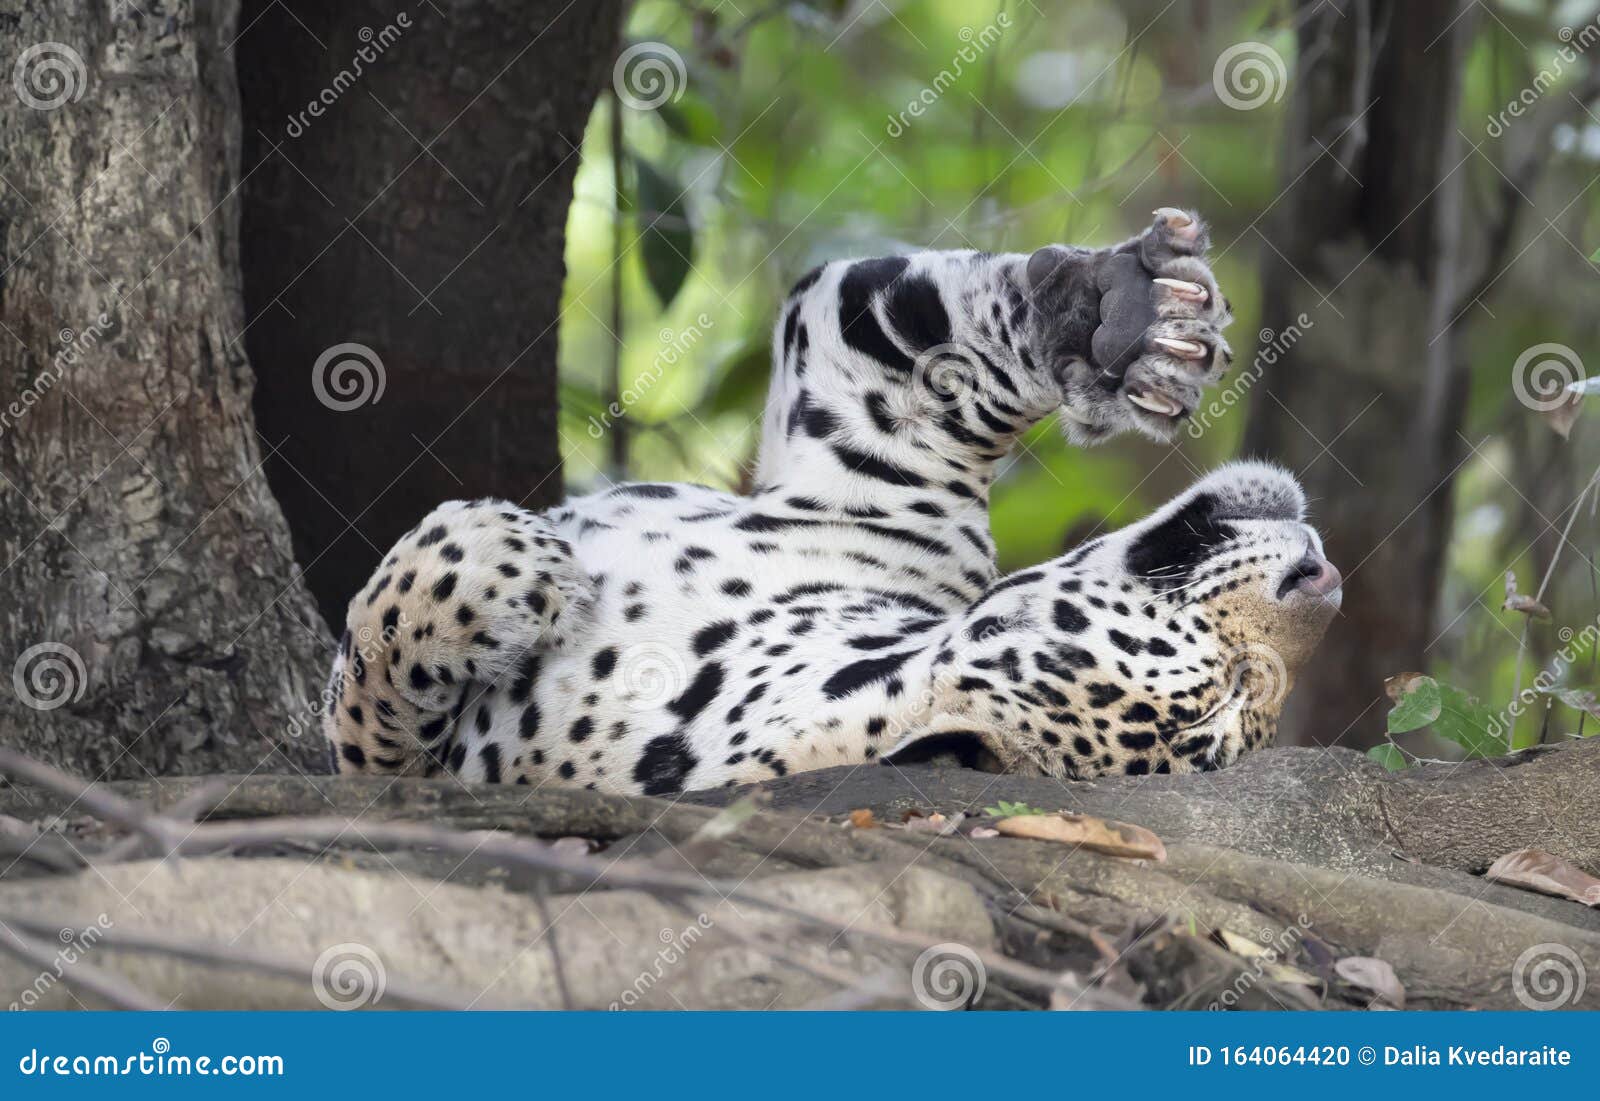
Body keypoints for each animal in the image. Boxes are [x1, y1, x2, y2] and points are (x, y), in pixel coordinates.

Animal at [321, 208, 1341, 794]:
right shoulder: (861, 433)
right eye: (1229, 681)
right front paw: (1115, 313)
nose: (1321, 582)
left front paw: (511, 571)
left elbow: (370, 704)